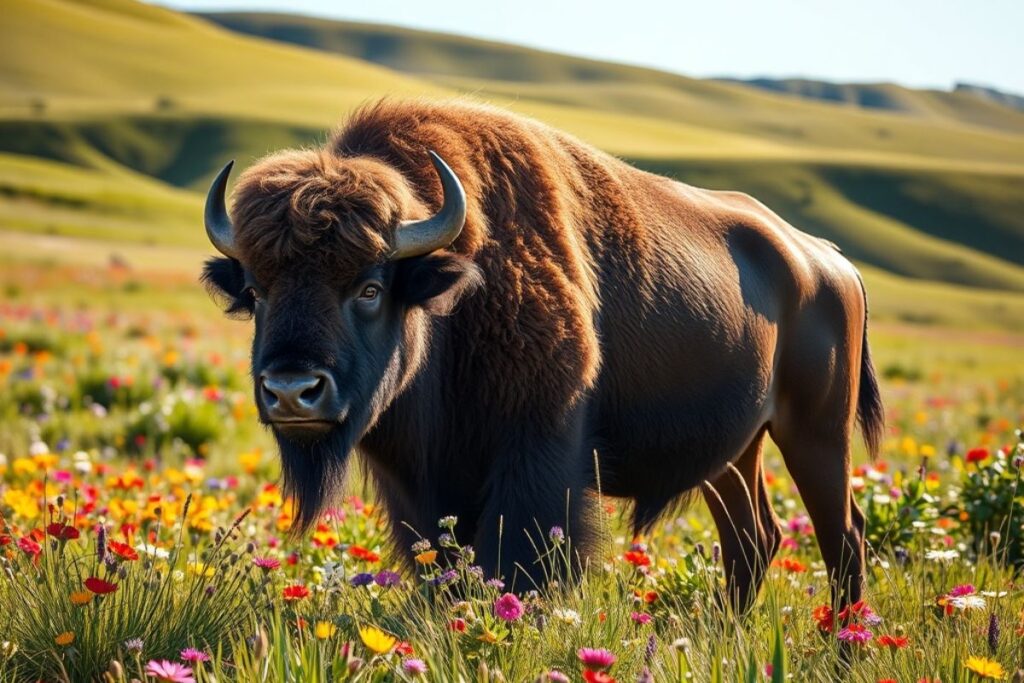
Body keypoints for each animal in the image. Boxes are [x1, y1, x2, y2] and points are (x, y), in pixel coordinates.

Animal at [201, 100, 883, 610]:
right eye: (256, 291)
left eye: (369, 288)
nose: (292, 391)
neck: (451, 288)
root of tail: (831, 261)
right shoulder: (418, 483)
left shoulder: (537, 452)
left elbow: (517, 563)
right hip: (735, 454)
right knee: (753, 539)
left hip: (816, 433)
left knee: (843, 536)